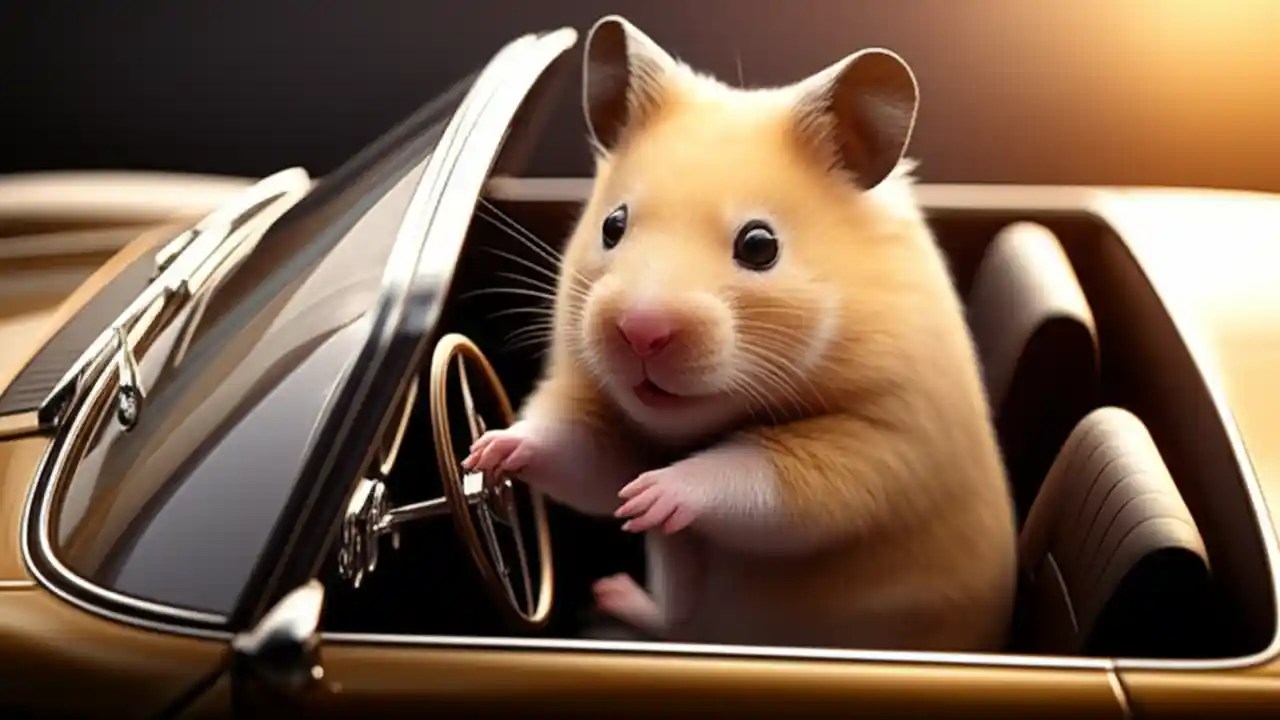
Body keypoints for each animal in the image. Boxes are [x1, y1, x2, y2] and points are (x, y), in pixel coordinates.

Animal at [464, 15, 1016, 652]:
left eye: (759, 245)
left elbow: (755, 476)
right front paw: (489, 450)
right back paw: (616, 595)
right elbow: (581, 457)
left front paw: (653, 495)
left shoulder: (884, 441)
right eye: (612, 225)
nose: (640, 331)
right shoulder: (602, 424)